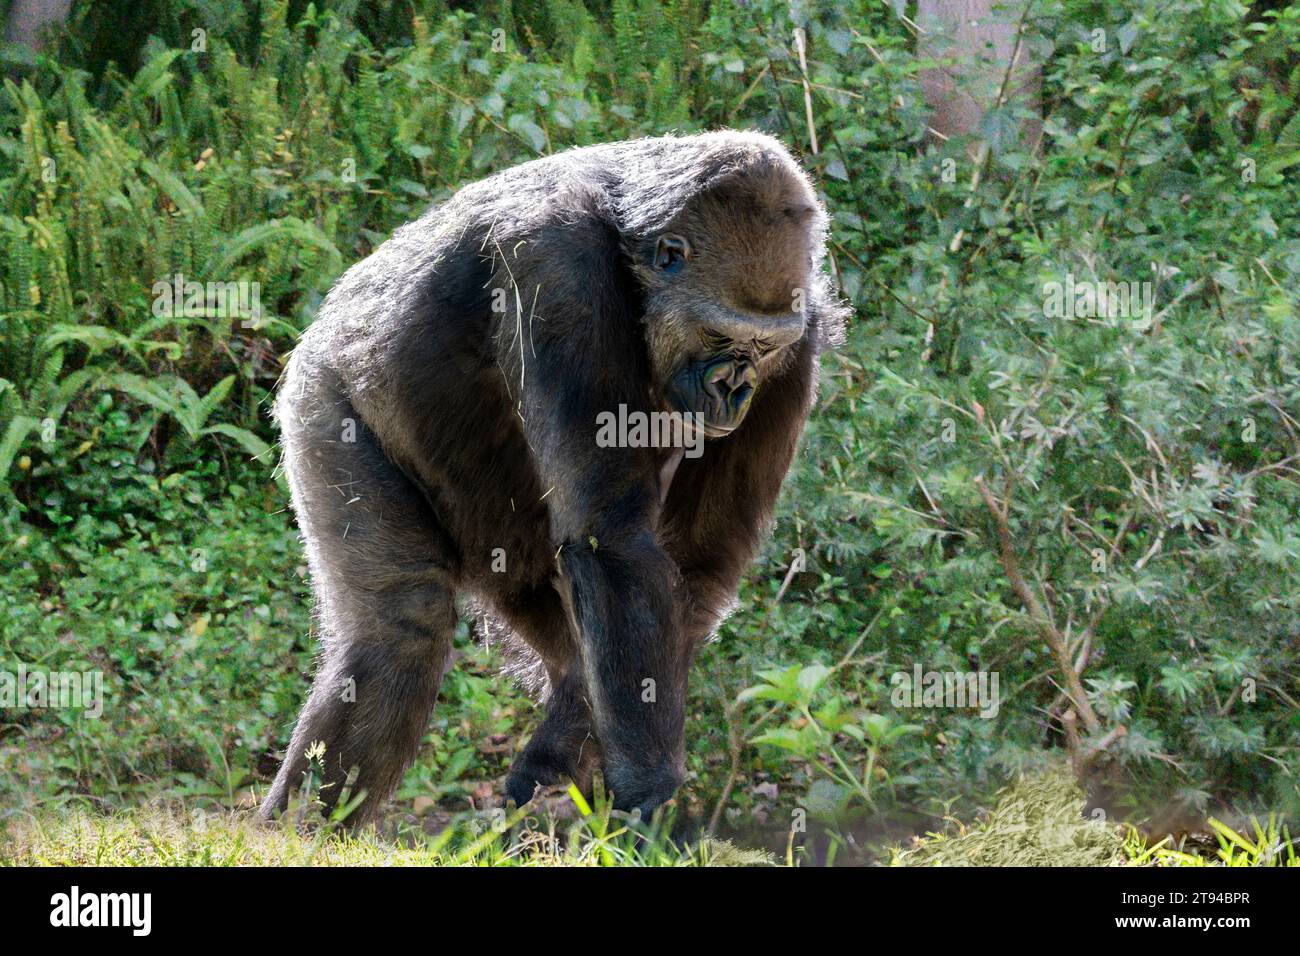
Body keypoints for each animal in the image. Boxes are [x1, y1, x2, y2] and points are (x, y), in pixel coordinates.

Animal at [260, 130, 848, 827]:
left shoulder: (801, 337)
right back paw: (296, 834)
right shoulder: (559, 266)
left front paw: (569, 767)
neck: (633, 252)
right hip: (321, 397)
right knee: (398, 626)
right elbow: (613, 541)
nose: (734, 391)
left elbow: (694, 565)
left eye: (762, 347)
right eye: (720, 334)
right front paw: (648, 796)